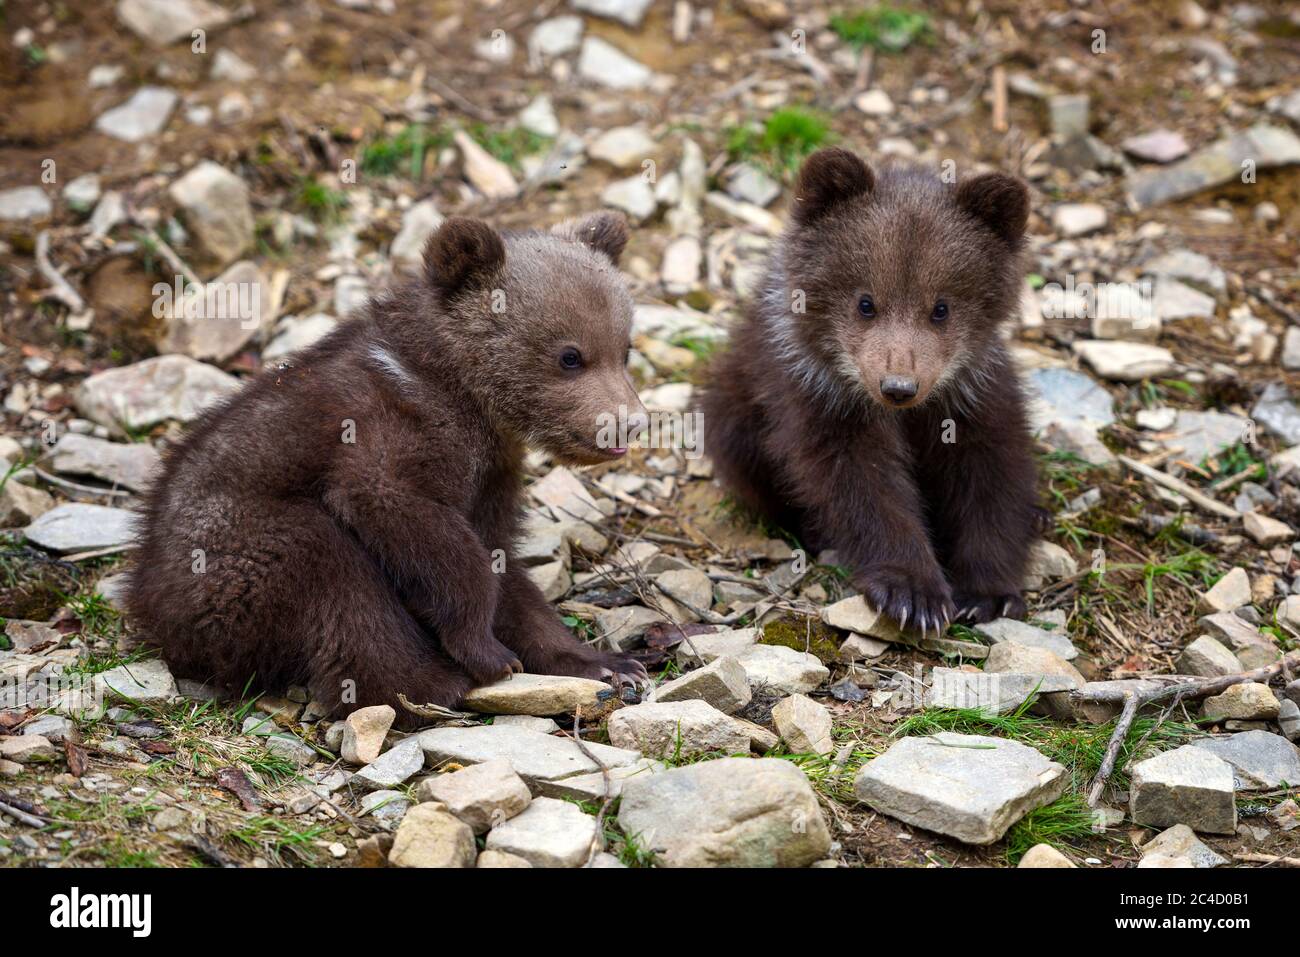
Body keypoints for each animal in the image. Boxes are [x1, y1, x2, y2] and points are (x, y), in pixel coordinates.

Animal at [126, 212, 649, 725]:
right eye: (570, 356)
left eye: (624, 349)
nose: (628, 423)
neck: (462, 389)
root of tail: (149, 604)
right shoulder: (390, 431)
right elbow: (416, 522)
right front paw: (487, 652)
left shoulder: (492, 475)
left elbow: (502, 560)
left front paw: (607, 663)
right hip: (232, 553)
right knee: (335, 579)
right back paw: (429, 687)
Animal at [701, 147, 1042, 633]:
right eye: (866, 302)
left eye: (941, 308)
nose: (898, 386)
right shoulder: (816, 391)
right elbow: (859, 482)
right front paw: (912, 593)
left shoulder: (971, 393)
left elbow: (991, 473)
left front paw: (985, 592)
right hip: (737, 412)